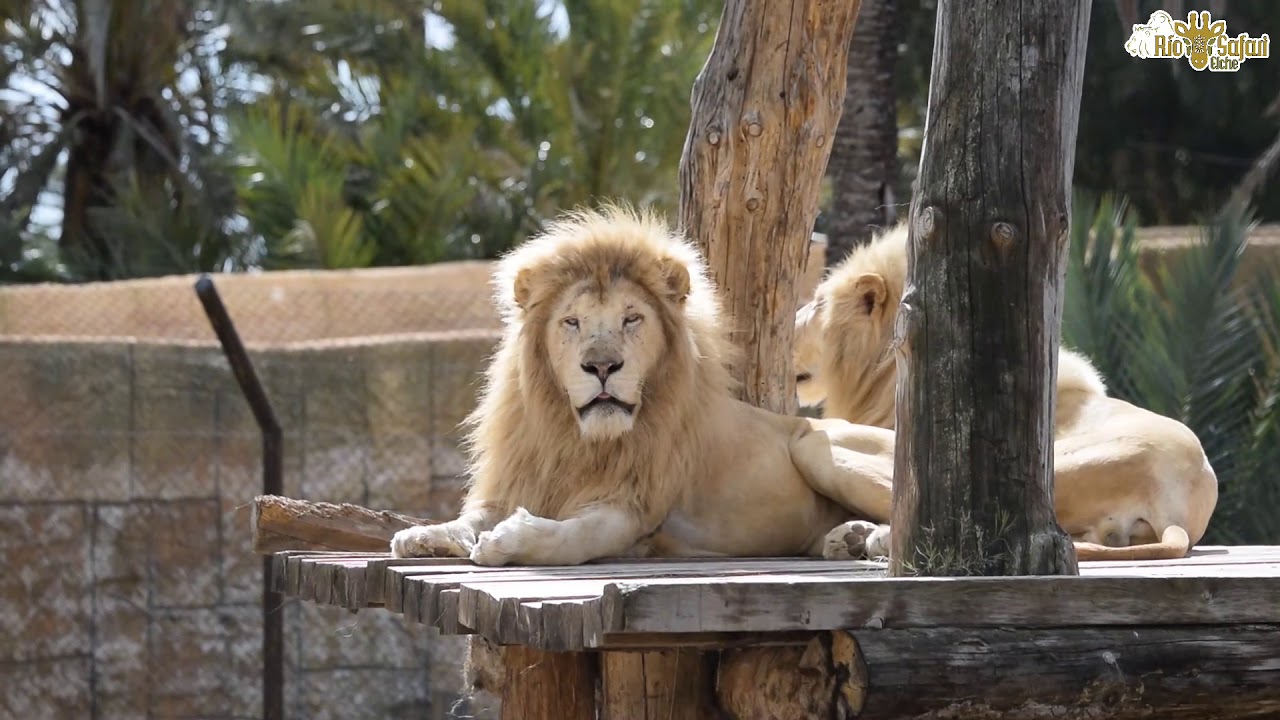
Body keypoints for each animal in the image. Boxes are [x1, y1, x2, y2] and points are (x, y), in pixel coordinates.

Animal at [390, 205, 897, 566]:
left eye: (631, 318)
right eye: (572, 322)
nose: (601, 366)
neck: (577, 438)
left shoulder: (637, 506)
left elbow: (578, 535)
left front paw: (512, 539)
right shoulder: (525, 476)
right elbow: (471, 516)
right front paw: (425, 535)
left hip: (815, 446)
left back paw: (875, 540)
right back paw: (851, 538)